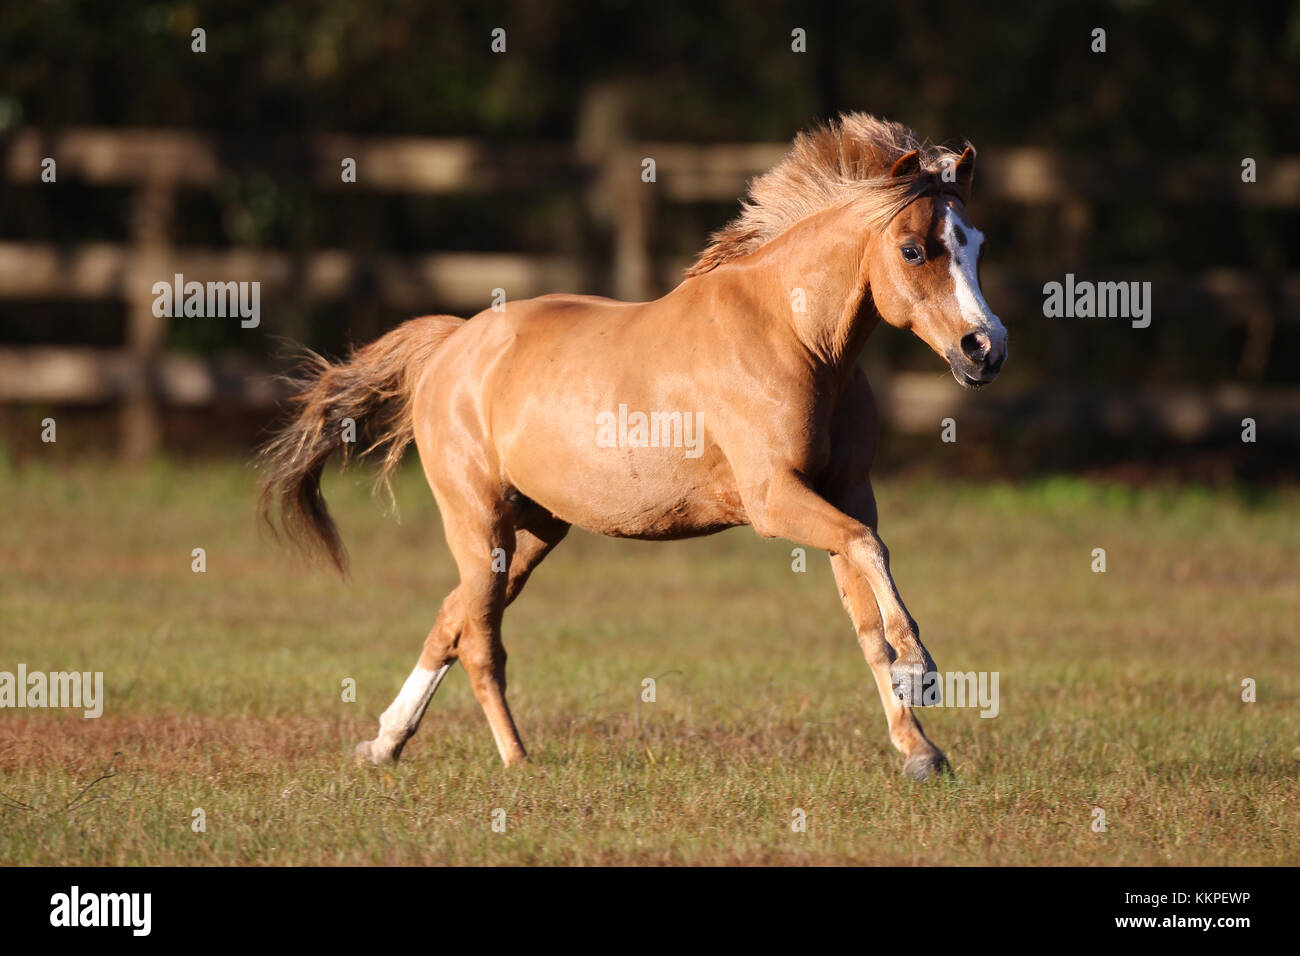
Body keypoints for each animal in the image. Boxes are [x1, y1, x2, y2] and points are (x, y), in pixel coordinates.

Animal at [258, 112, 1007, 781]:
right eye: (913, 249)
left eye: (974, 243)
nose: (985, 349)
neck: (798, 340)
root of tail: (450, 343)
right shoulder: (776, 501)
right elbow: (869, 552)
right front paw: (922, 671)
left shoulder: (846, 493)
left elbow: (865, 617)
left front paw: (920, 750)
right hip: (478, 522)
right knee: (480, 642)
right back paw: (516, 760)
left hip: (536, 530)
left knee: (452, 621)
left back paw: (384, 744)